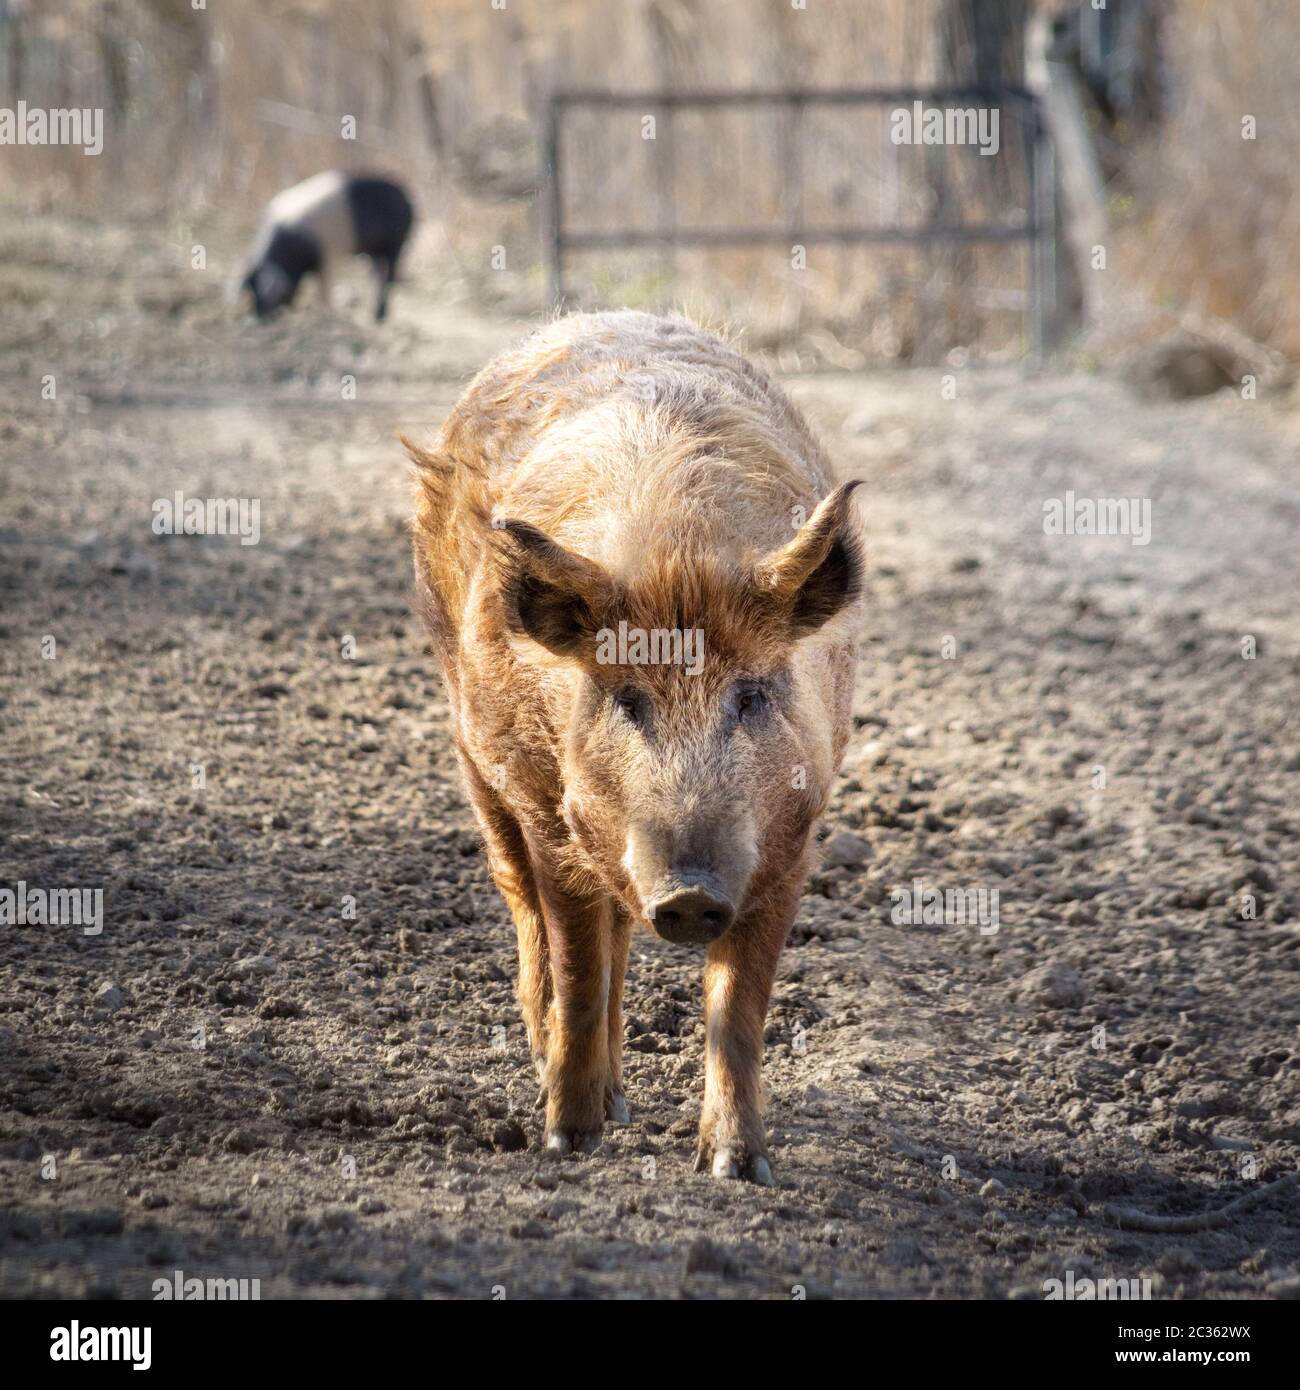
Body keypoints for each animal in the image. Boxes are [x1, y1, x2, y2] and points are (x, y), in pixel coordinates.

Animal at [239, 171, 413, 322]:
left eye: (264, 298)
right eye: (252, 292)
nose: (258, 318)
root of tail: (409, 201)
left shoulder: (328, 255)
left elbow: (324, 290)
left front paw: (326, 314)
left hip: (396, 243)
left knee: (388, 276)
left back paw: (379, 317)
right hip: (375, 251)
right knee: (376, 276)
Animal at [407, 311, 863, 1183]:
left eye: (753, 694)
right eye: (626, 698)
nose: (688, 895)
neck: (678, 555)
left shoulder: (792, 833)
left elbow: (739, 1009)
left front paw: (738, 1169)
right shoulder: (554, 815)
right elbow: (580, 967)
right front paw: (568, 1143)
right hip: (477, 757)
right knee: (530, 914)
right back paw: (579, 1091)